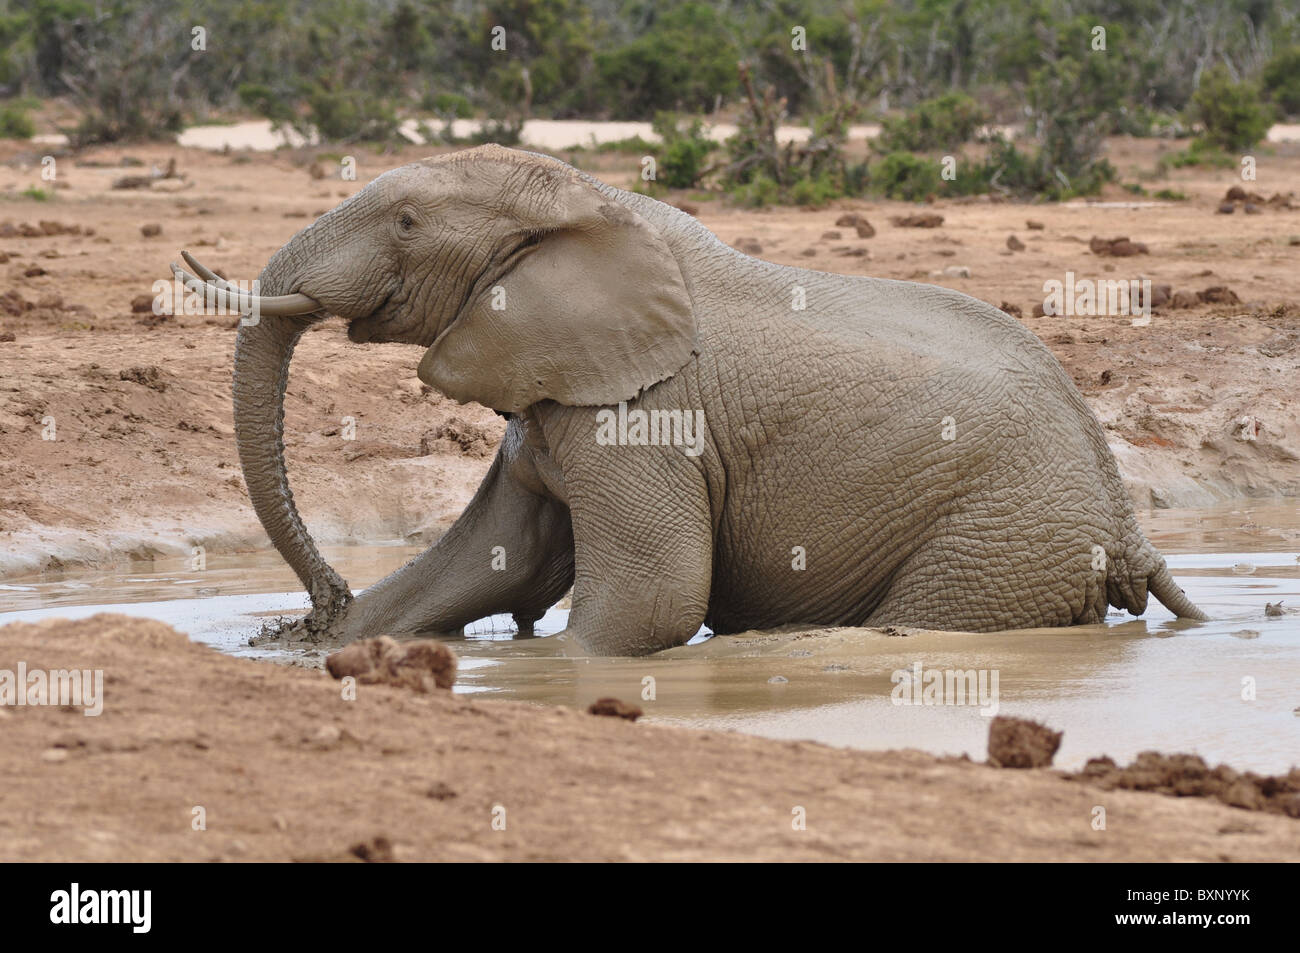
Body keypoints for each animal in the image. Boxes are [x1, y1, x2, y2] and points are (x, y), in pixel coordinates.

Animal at [174, 144, 1206, 656]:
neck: (590, 202)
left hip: (1001, 535)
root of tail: (1128, 521)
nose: (321, 598)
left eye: (406, 222)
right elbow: (497, 558)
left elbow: (649, 603)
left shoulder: (644, 415)